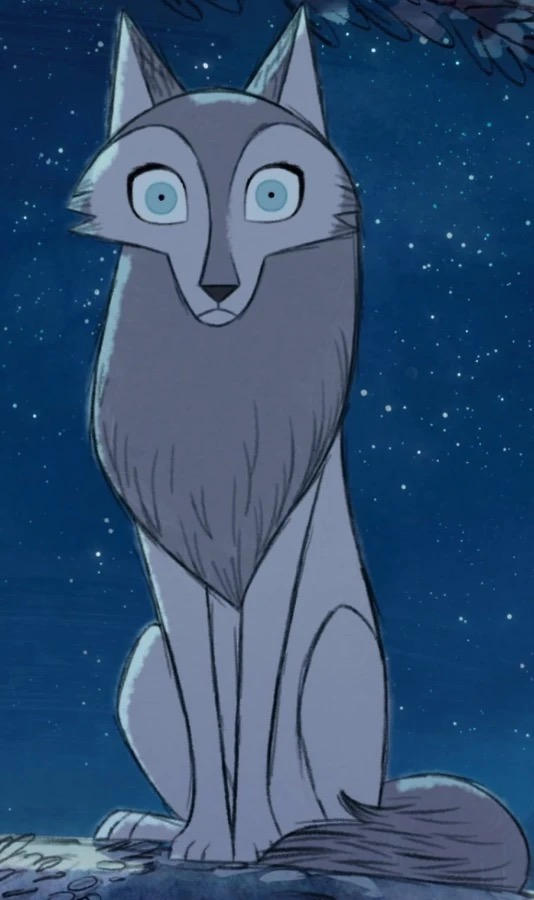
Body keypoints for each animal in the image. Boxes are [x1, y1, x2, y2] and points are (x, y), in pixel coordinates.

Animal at [67, 7, 529, 888]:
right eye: (160, 197)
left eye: (273, 196)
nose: (217, 287)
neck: (216, 377)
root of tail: (386, 791)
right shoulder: (170, 564)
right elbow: (212, 723)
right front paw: (203, 839)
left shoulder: (280, 545)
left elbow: (253, 706)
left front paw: (246, 843)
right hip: (144, 661)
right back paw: (152, 827)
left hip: (337, 649)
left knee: (329, 809)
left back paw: (298, 833)